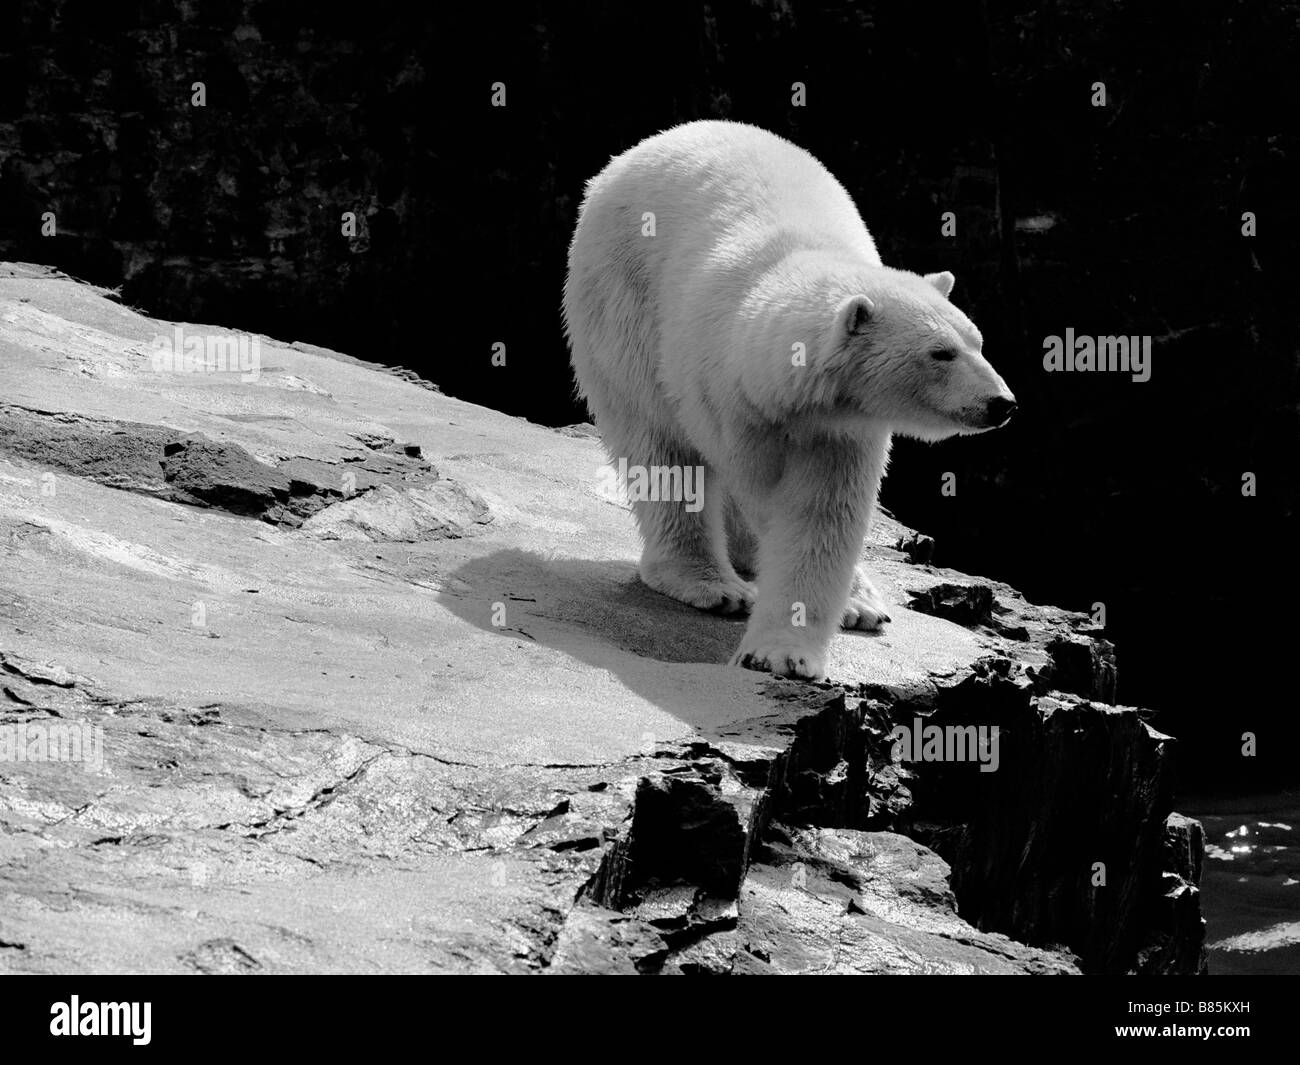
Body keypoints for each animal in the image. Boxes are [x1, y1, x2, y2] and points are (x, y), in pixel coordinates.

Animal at [563, 120, 1016, 680]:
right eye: (941, 352)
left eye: (978, 342)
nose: (1002, 403)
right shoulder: (724, 394)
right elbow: (761, 490)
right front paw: (777, 648)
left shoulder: (845, 428)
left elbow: (822, 515)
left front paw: (795, 646)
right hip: (621, 301)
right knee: (657, 441)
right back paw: (711, 584)